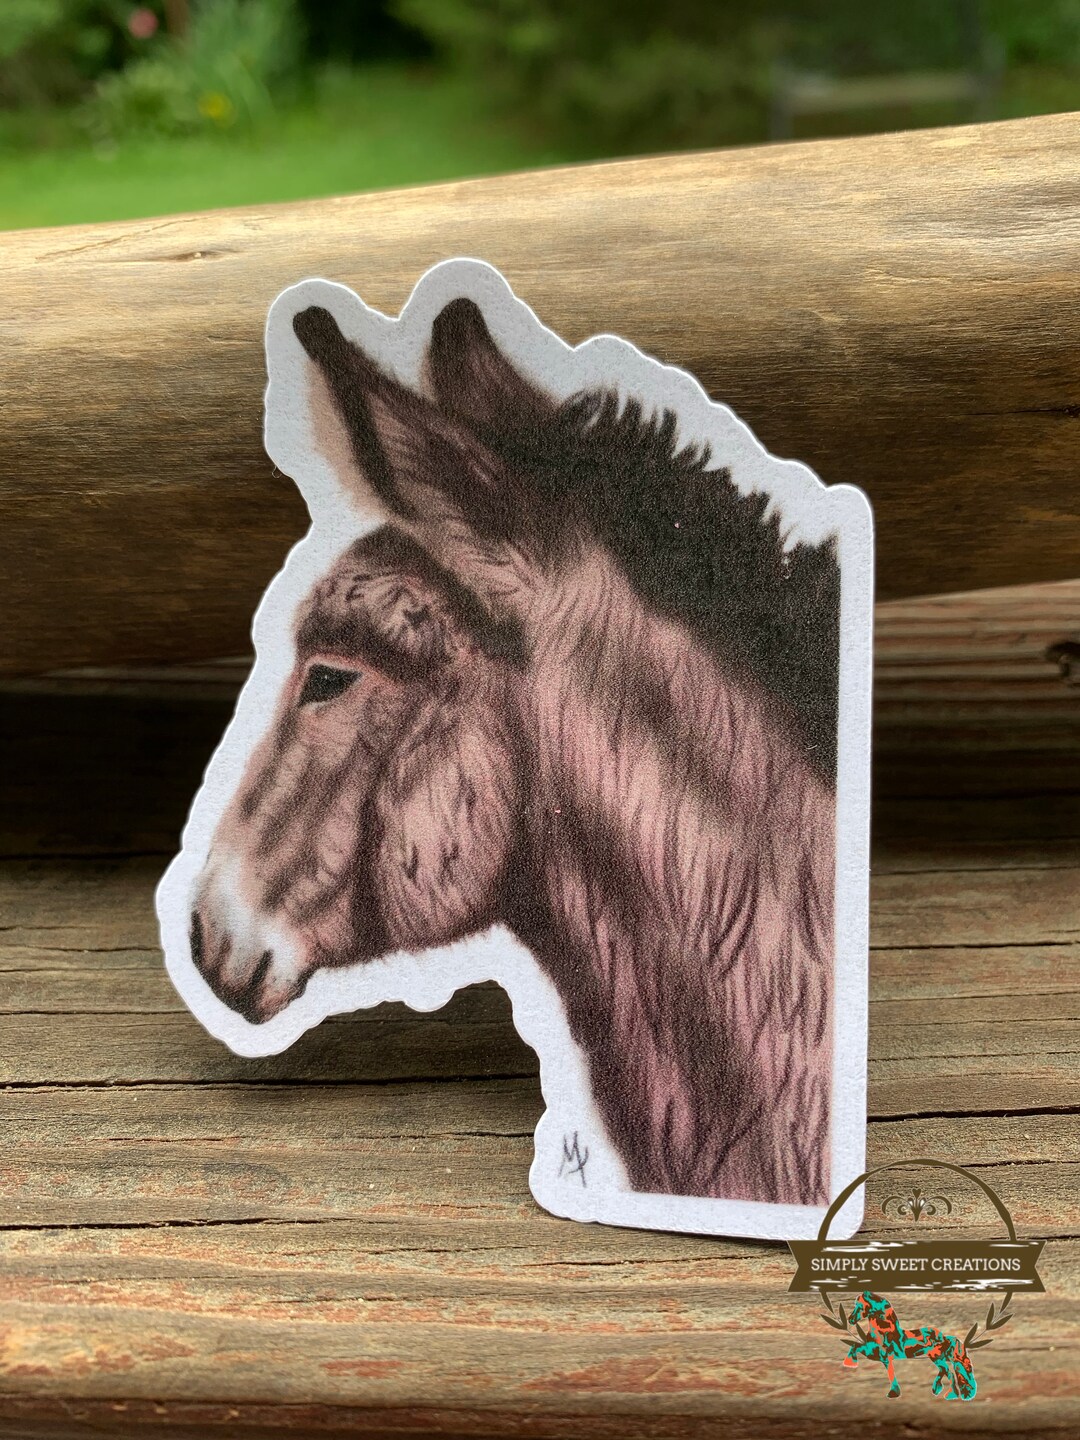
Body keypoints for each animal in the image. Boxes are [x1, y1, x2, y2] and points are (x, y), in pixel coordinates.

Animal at [844, 1292, 978, 1400]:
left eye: (859, 1306)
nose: (850, 1319)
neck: (884, 1331)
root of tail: (944, 1337)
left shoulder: (884, 1357)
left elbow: (890, 1374)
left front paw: (893, 1393)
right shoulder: (872, 1352)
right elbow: (855, 1346)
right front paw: (849, 1363)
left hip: (936, 1357)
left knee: (948, 1372)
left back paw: (949, 1394)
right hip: (937, 1357)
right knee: (945, 1371)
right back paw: (937, 1389)